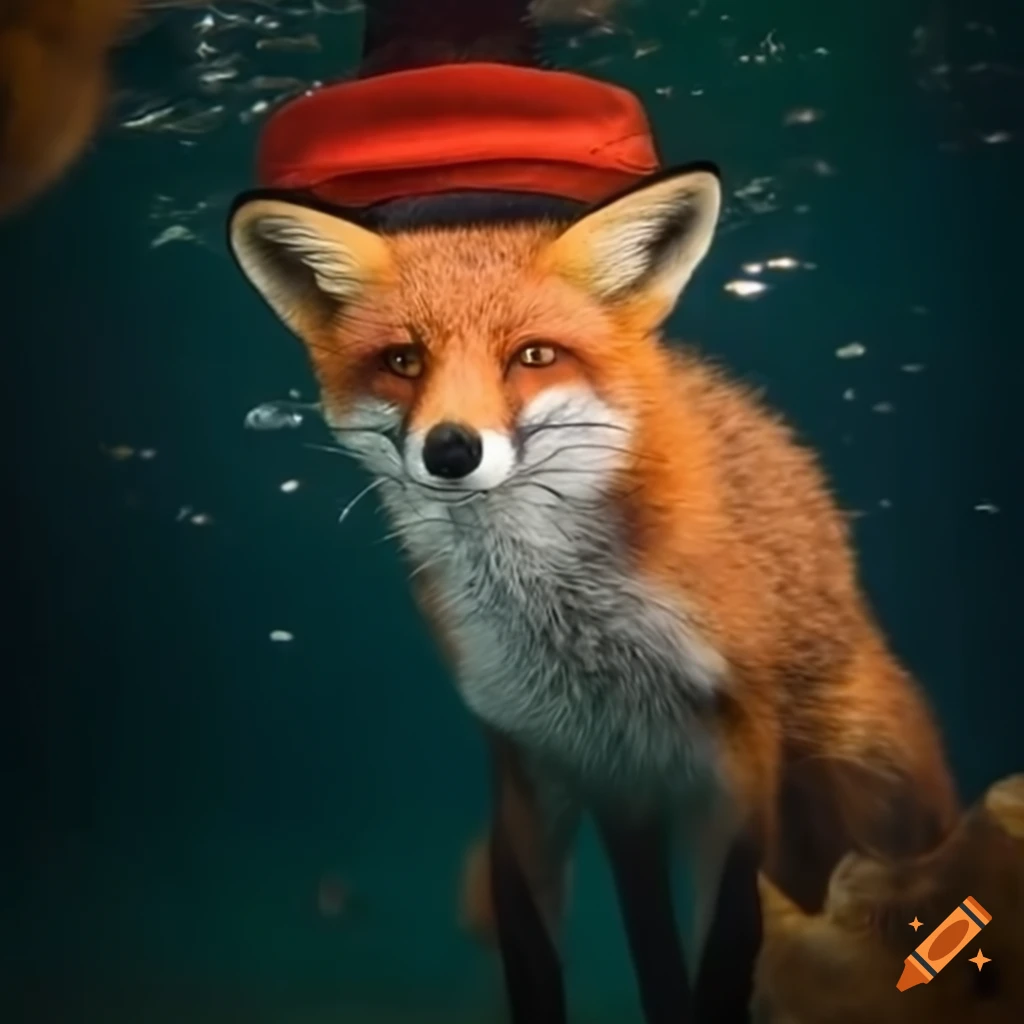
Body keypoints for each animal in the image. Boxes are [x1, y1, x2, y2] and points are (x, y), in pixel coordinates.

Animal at [225, 1, 960, 1022]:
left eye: (532, 356)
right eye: (403, 361)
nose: (451, 451)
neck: (580, 641)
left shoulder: (735, 772)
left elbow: (728, 953)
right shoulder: (542, 770)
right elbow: (549, 959)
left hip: (870, 790)